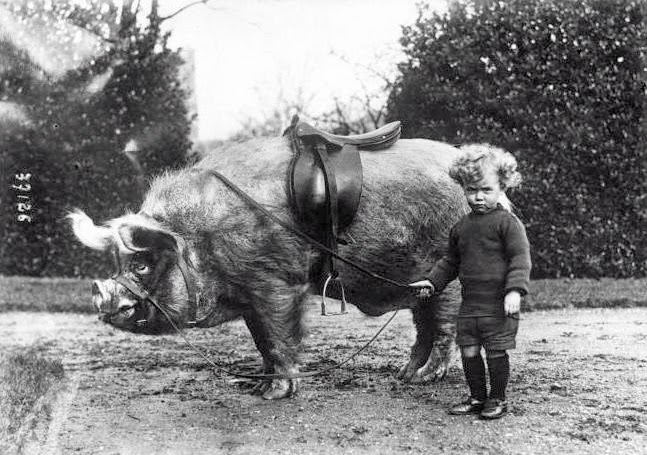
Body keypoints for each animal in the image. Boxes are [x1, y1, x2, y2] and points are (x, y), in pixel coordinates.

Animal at [69, 135, 467, 399]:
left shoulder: (276, 281)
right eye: (118, 263)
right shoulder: (249, 294)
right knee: (423, 328)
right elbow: (261, 340)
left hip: (447, 278)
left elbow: (278, 336)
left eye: (141, 265)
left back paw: (424, 379)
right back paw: (404, 375)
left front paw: (274, 394)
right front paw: (256, 385)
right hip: (419, 284)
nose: (99, 293)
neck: (204, 236)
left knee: (443, 328)